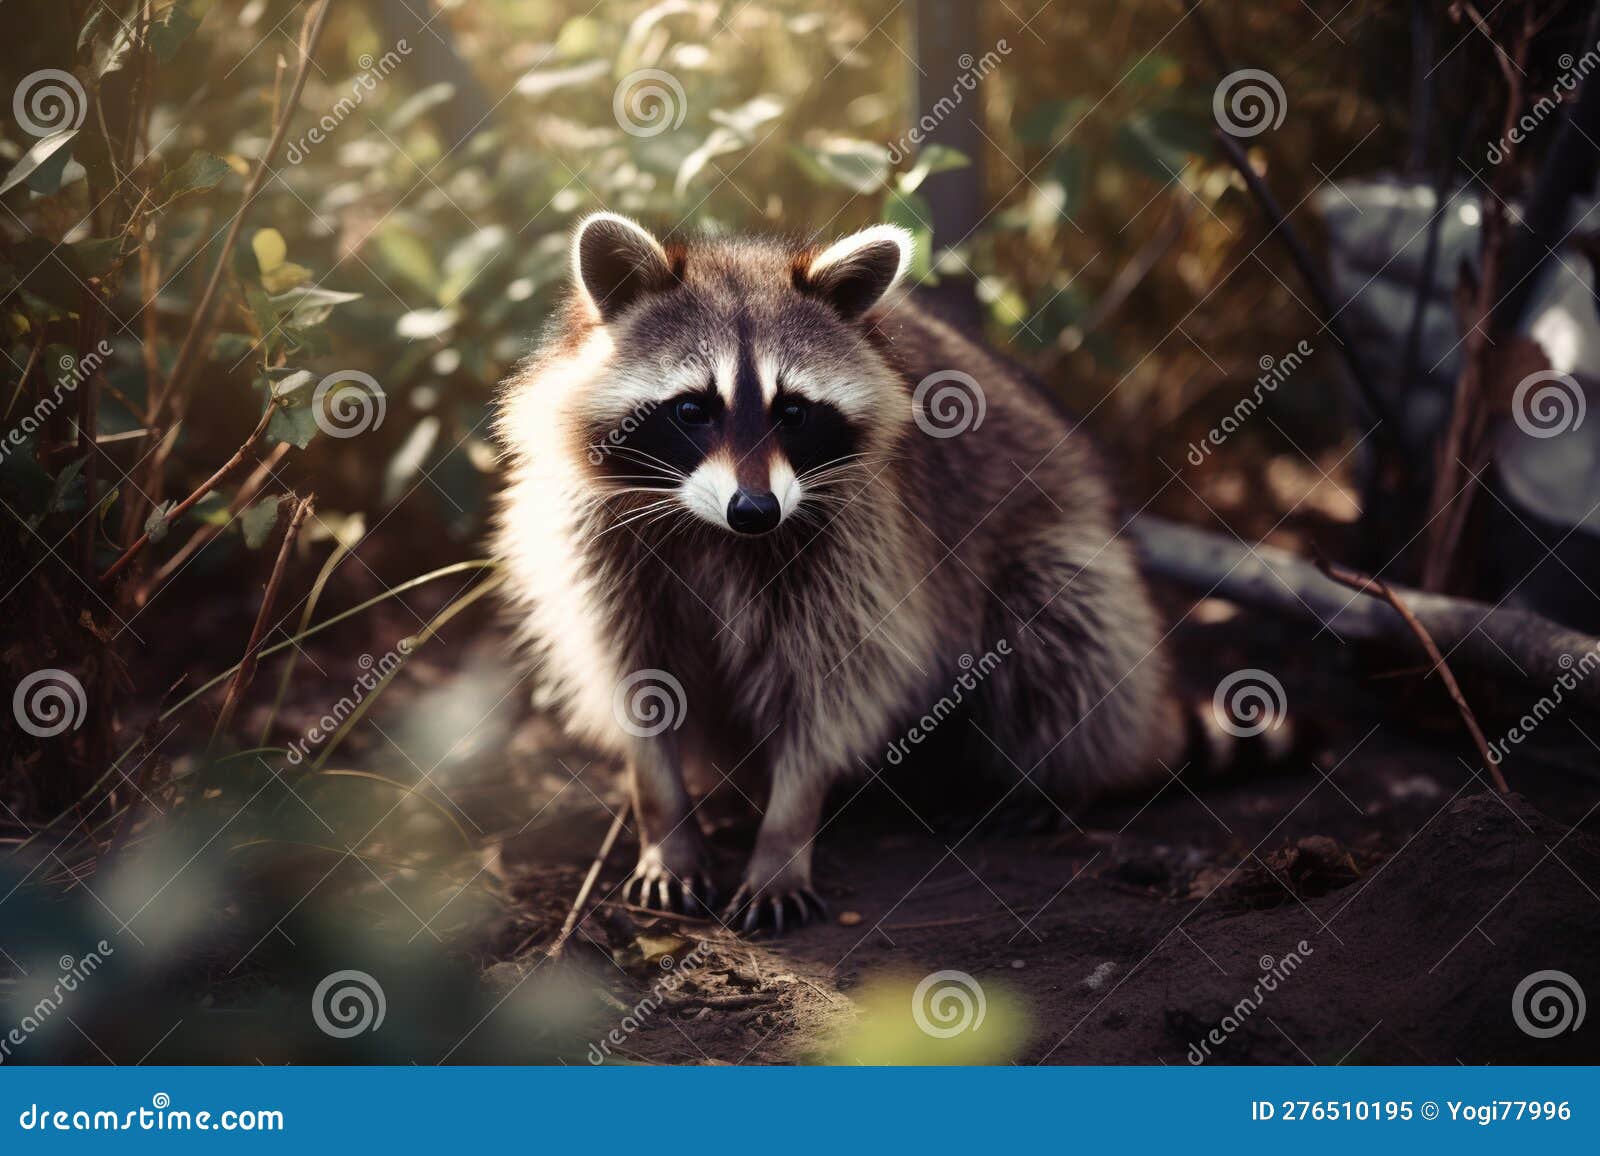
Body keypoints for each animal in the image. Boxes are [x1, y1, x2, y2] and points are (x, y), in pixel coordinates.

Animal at [493, 213, 1184, 932]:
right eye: (691, 410)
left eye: (793, 411)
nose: (756, 511)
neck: (715, 531)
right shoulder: (596, 546)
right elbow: (632, 675)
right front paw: (666, 823)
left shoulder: (864, 548)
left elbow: (829, 690)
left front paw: (784, 838)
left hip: (1057, 547)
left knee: (1061, 626)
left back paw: (1059, 779)